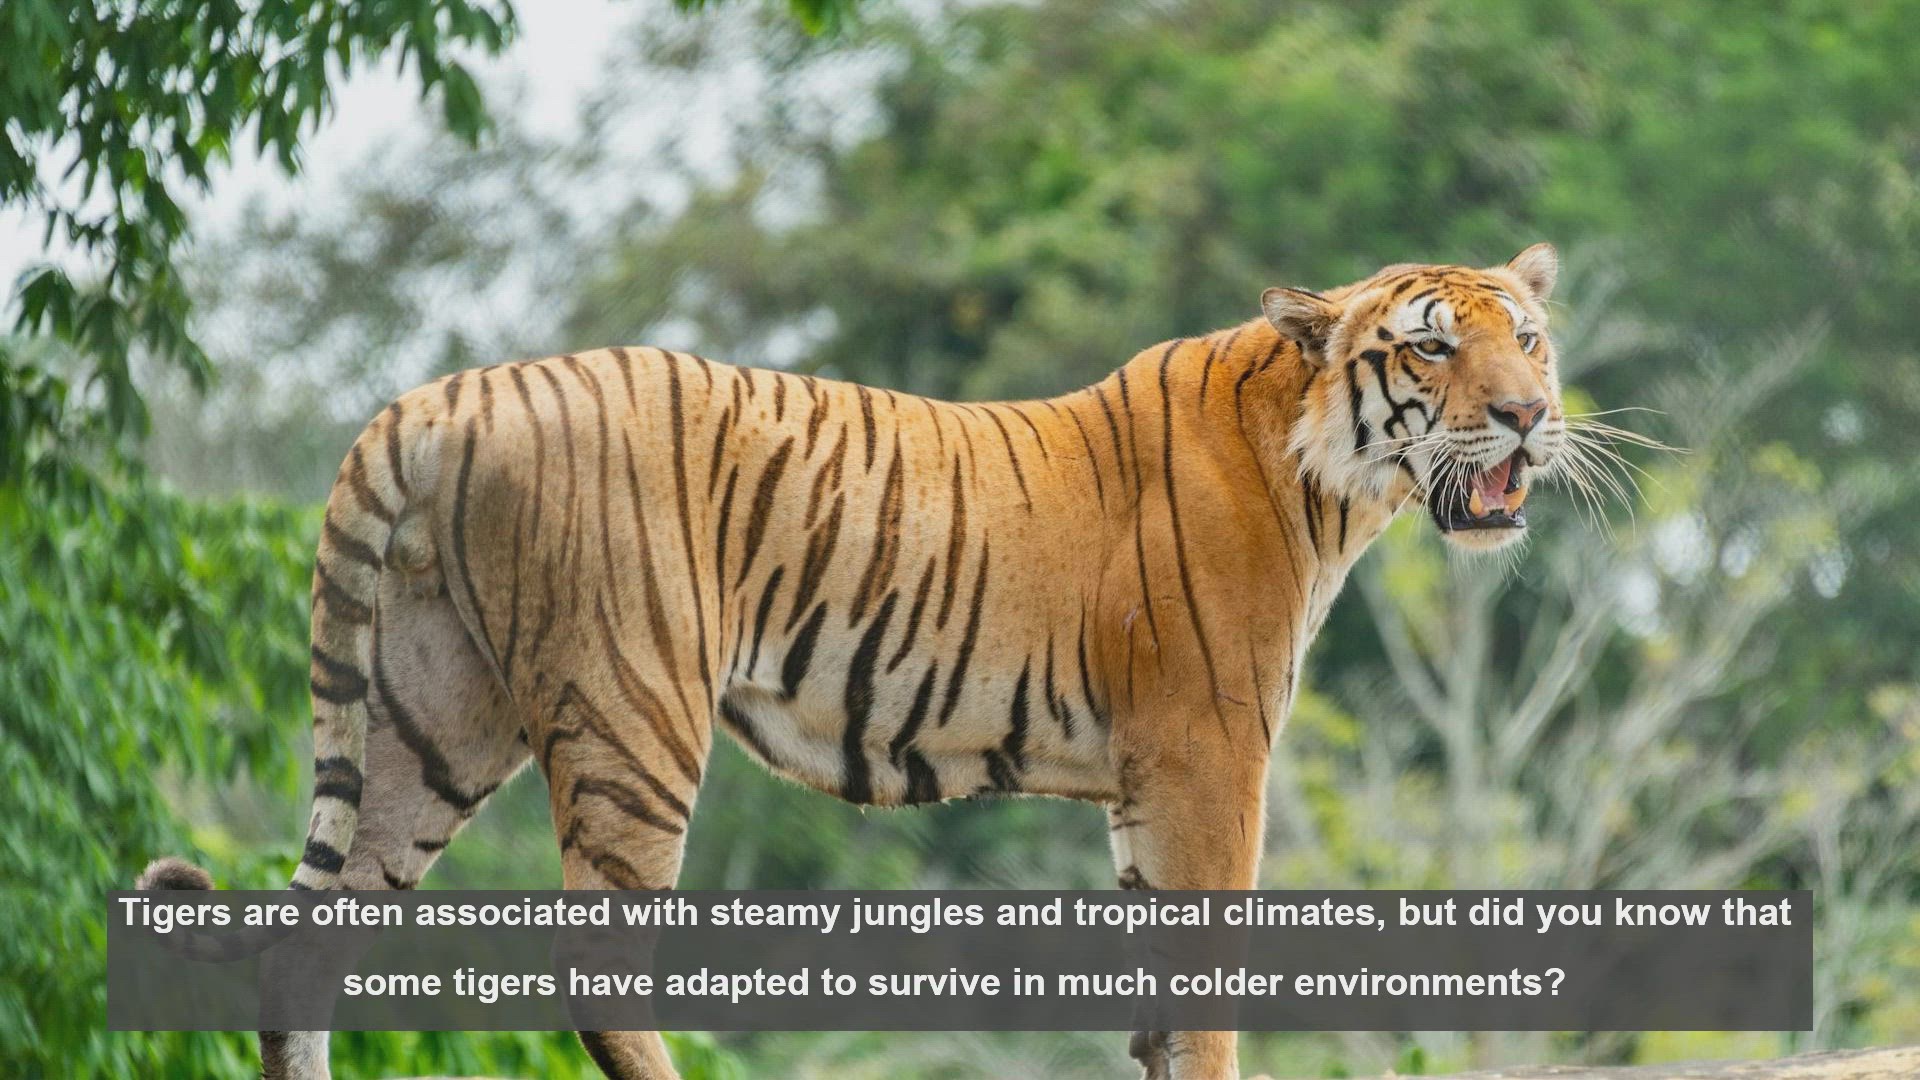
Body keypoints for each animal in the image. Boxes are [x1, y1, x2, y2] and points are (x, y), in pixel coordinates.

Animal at [137, 244, 1570, 1079]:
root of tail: (432, 398)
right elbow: (1205, 1010)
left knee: (308, 942)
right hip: (629, 710)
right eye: (1432, 344)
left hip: (433, 713)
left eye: (1531, 338)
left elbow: (1156, 1018)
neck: (1327, 475)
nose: (1531, 415)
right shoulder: (1209, 756)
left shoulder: (1147, 789)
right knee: (595, 984)